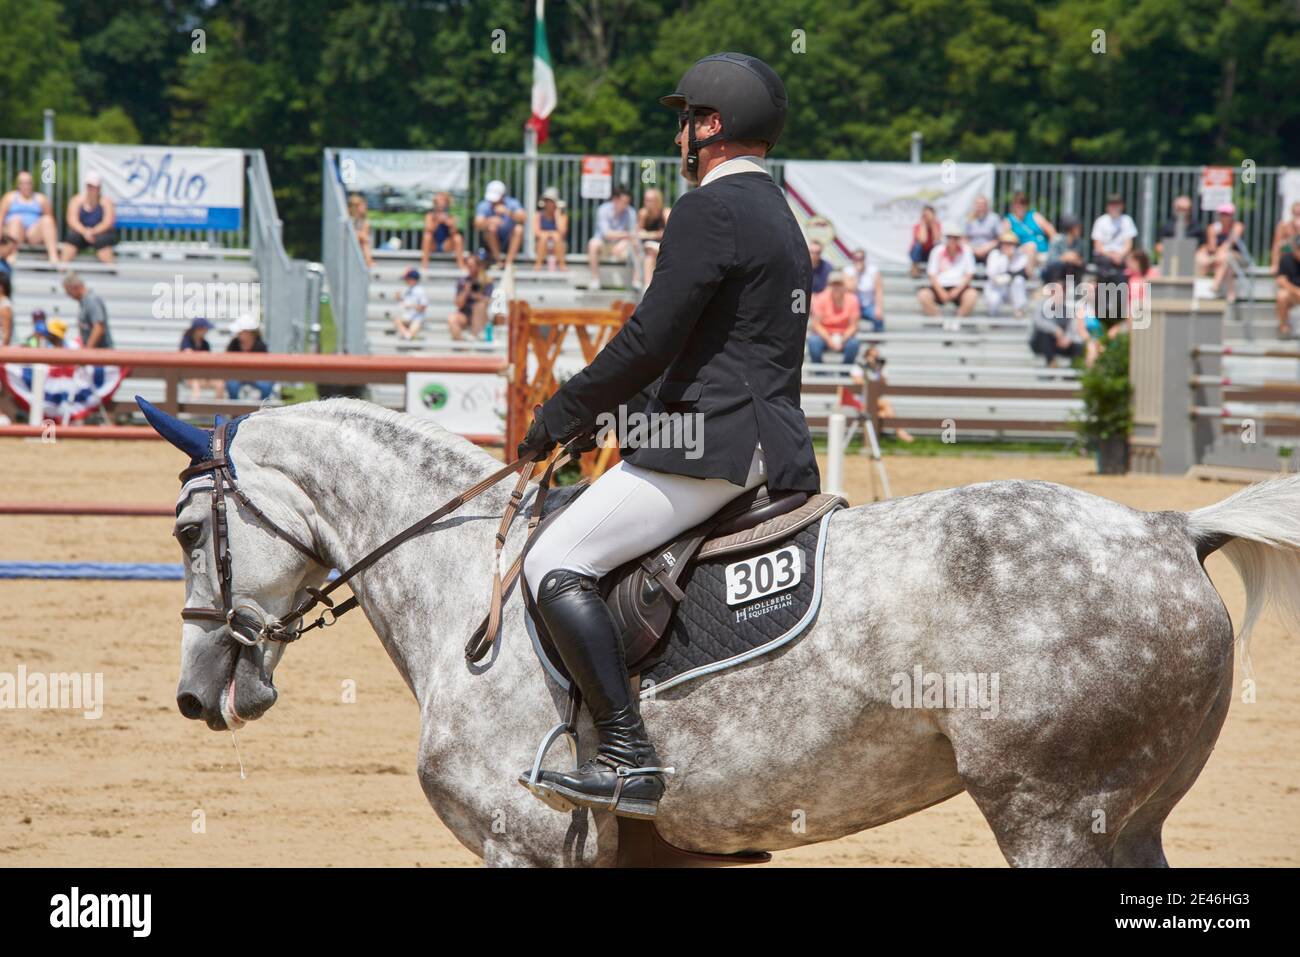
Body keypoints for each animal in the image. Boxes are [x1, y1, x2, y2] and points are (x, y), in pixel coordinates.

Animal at [147, 397, 1300, 866]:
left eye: (189, 531)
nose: (198, 692)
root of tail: (1167, 526)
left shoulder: (525, 842)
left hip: (1050, 815)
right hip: (1129, 817)